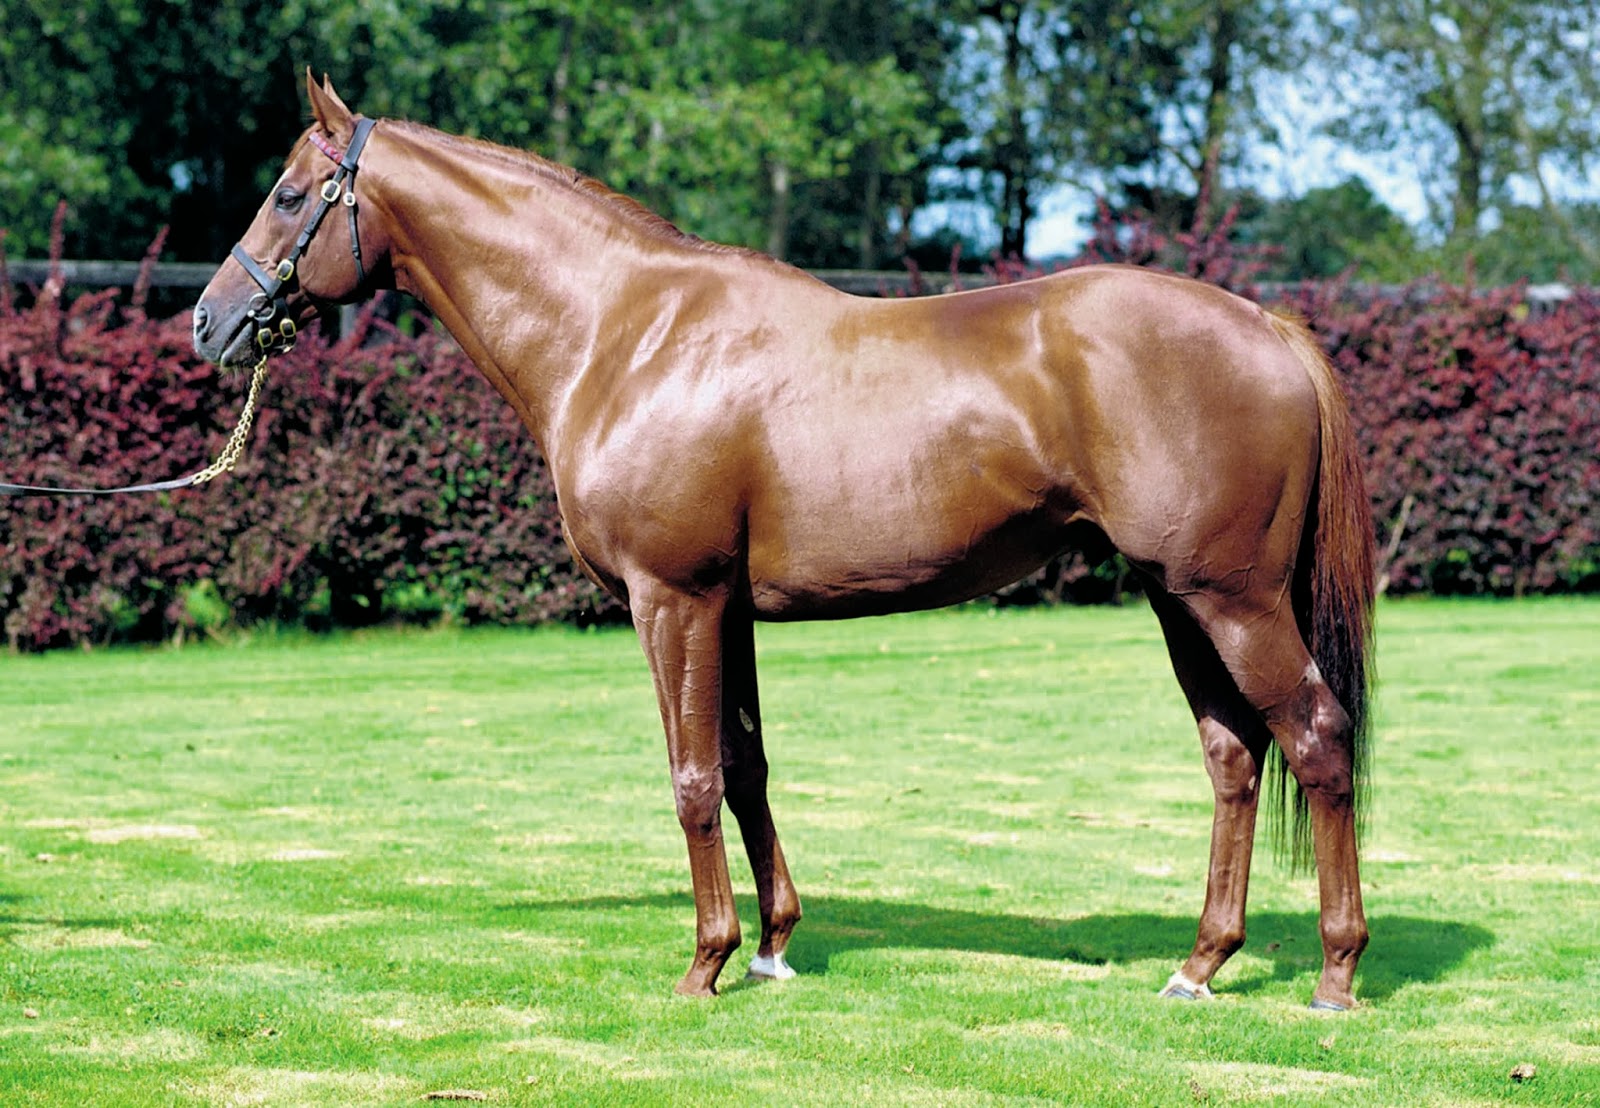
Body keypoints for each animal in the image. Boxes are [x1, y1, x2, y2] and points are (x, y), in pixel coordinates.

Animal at [194, 73, 1376, 1010]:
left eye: (290, 194)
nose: (210, 322)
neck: (628, 333)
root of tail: (1266, 327)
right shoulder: (729, 608)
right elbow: (745, 765)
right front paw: (768, 949)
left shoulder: (671, 598)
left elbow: (689, 775)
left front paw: (702, 964)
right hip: (1179, 597)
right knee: (1234, 754)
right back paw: (1200, 963)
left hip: (1232, 597)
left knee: (1316, 738)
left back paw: (1333, 973)